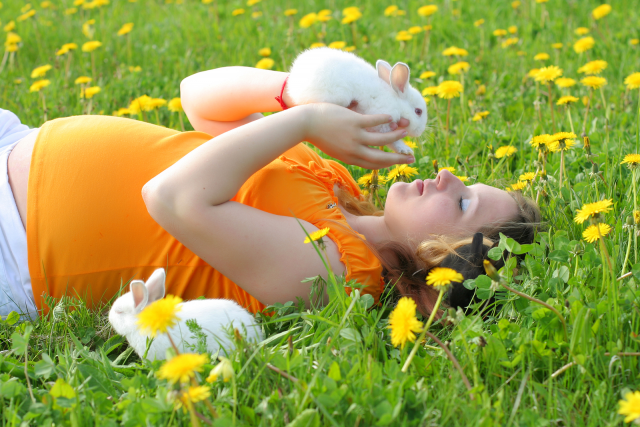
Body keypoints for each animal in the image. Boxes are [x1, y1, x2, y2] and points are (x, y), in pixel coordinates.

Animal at [286, 47, 427, 156]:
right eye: (418, 111)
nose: (420, 132)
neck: (396, 102)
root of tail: (293, 82)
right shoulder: (382, 123)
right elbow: (393, 140)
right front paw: (406, 150)